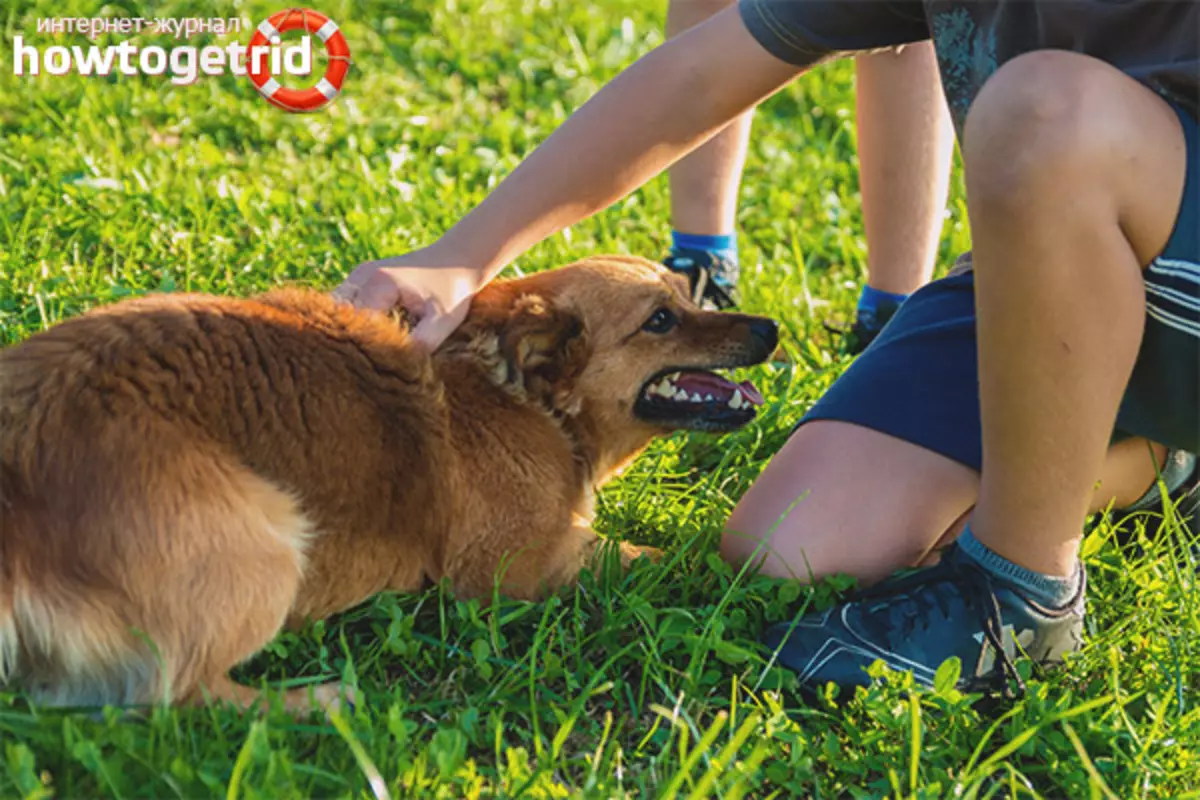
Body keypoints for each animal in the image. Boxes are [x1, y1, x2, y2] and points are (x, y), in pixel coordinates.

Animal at [0, 256, 777, 714]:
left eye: (689, 295)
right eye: (660, 320)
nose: (772, 328)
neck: (520, 393)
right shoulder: (514, 570)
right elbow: (655, 555)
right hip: (270, 537)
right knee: (178, 696)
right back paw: (319, 702)